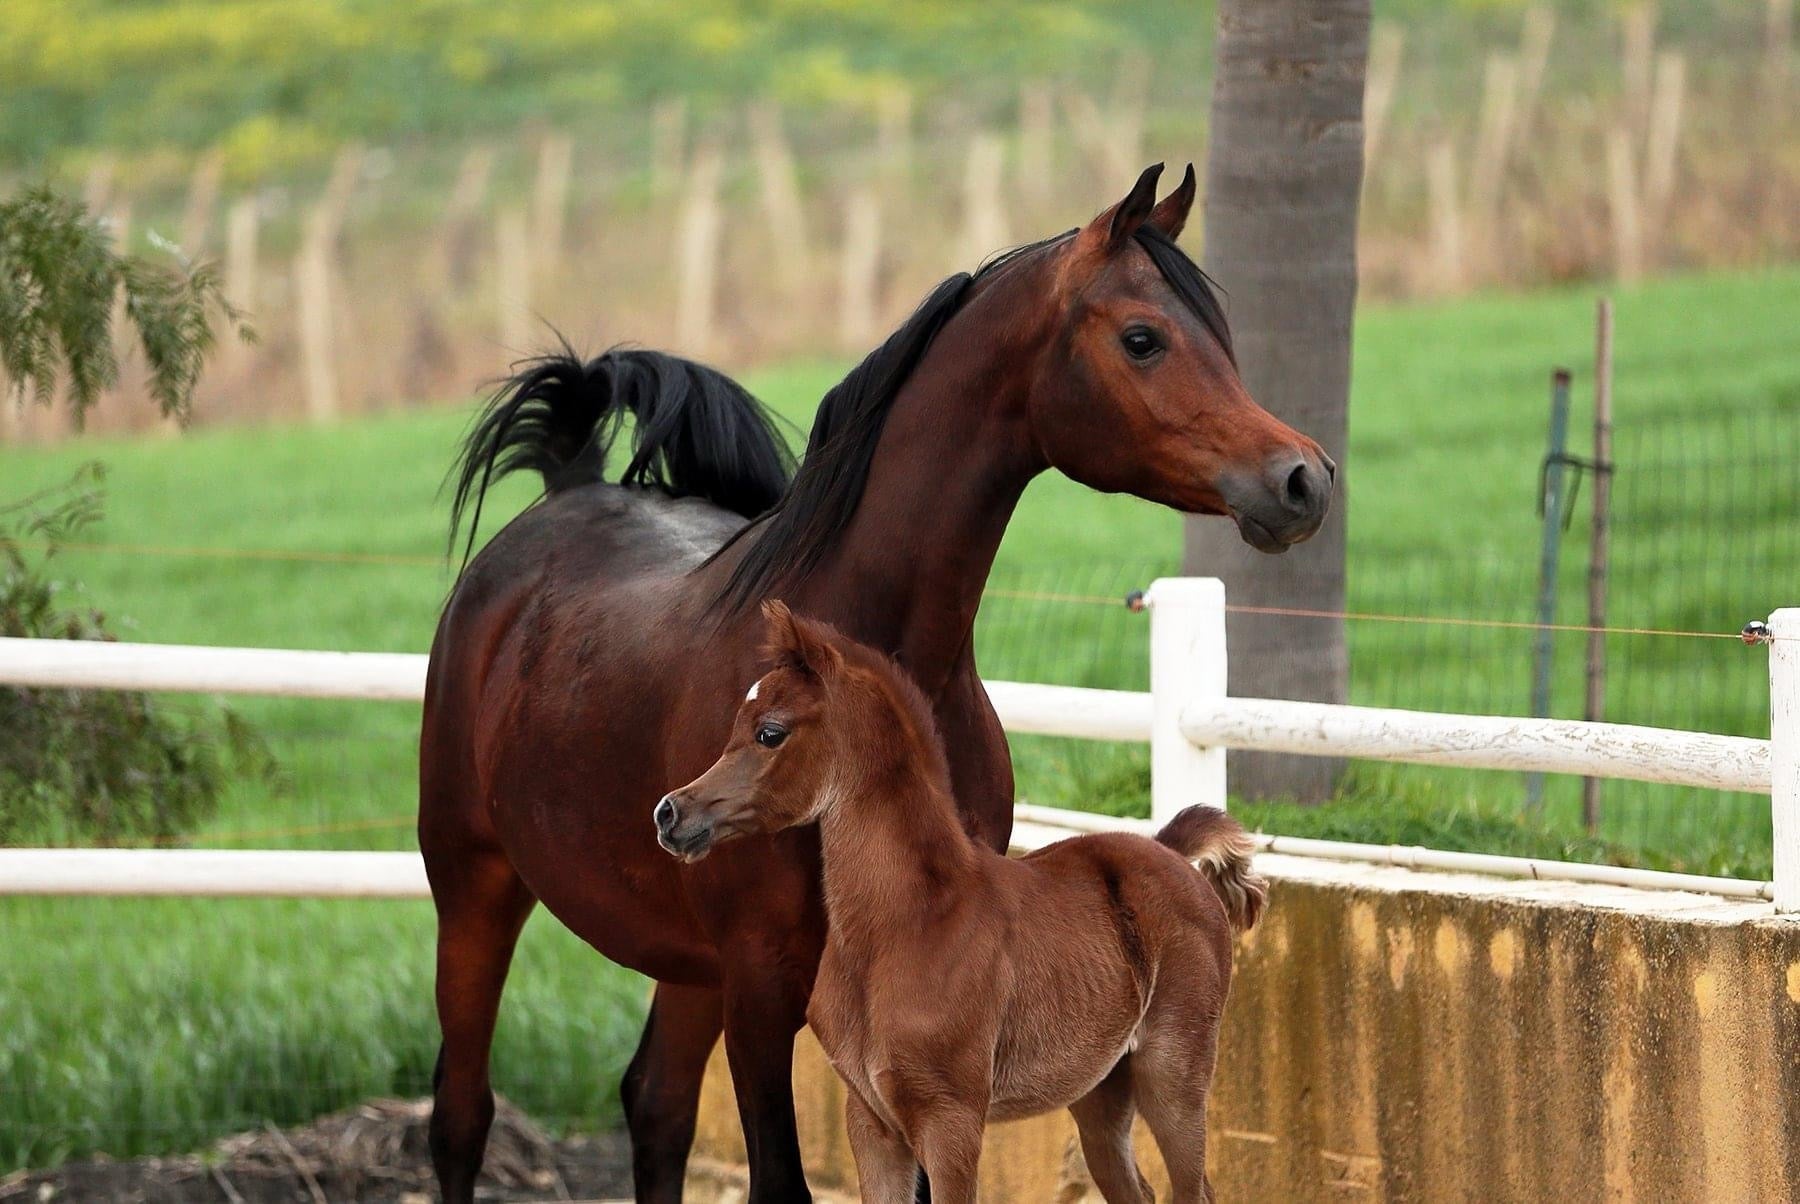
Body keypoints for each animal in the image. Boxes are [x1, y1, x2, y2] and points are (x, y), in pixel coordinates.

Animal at [656, 601, 1265, 1204]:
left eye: (770, 732)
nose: (671, 814)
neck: (906, 925)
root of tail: (1171, 852)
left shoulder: (952, 1120)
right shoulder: (870, 1121)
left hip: (1174, 1073)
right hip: (1100, 1090)